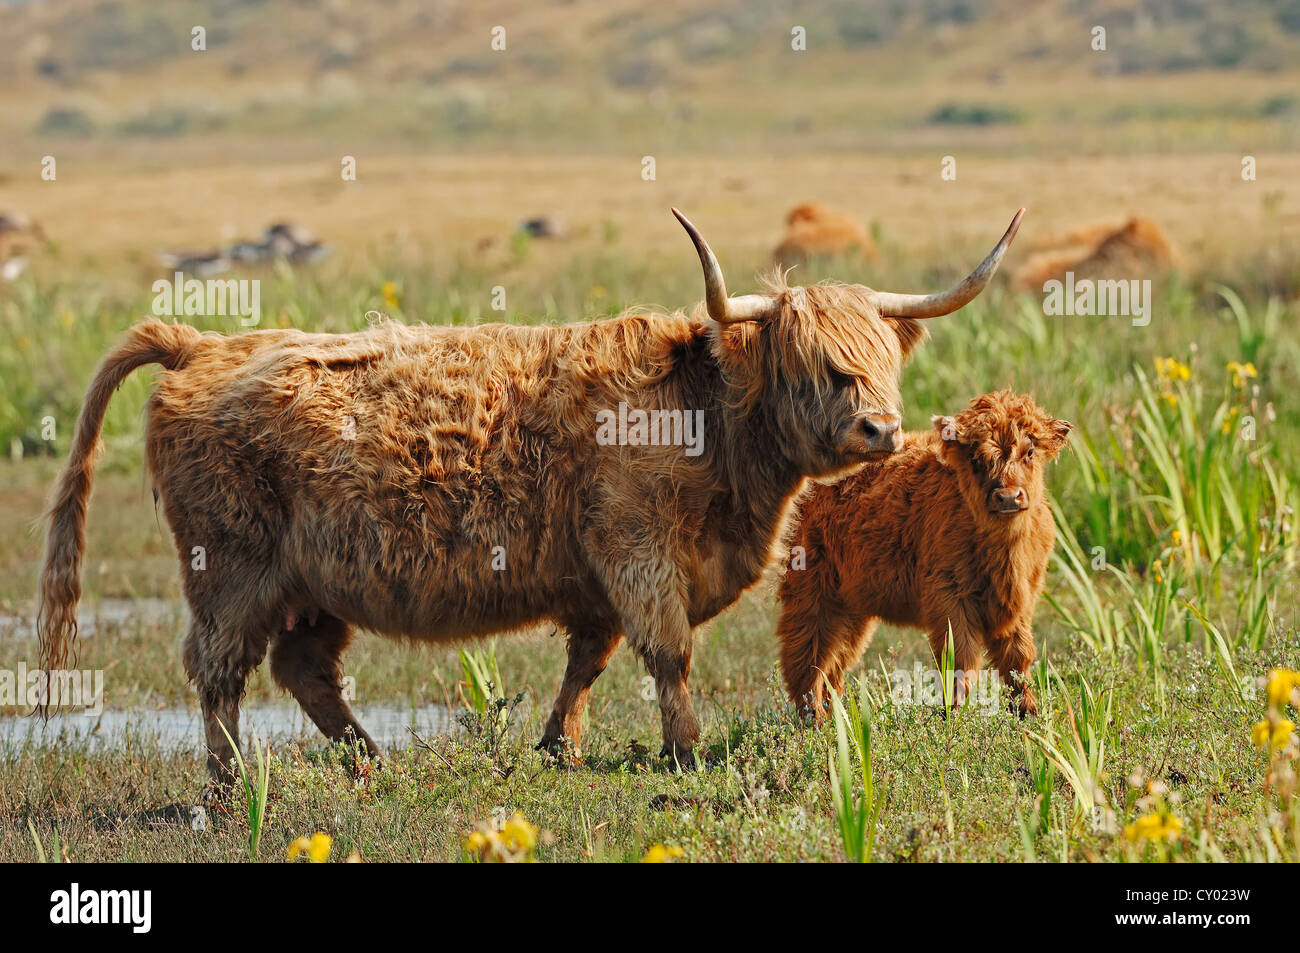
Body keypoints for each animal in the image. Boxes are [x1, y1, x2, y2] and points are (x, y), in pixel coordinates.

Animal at [37, 207, 1023, 780]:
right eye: (824, 366)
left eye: (887, 360)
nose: (882, 431)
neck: (707, 420)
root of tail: (199, 343)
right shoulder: (638, 548)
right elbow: (667, 652)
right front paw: (686, 750)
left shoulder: (602, 574)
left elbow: (588, 659)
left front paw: (560, 745)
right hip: (230, 565)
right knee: (217, 667)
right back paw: (231, 780)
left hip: (314, 580)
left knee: (303, 667)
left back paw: (370, 761)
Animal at [776, 390, 1070, 720]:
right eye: (974, 457)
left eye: (1029, 451)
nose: (1007, 497)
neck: (1003, 551)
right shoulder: (950, 598)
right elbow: (960, 660)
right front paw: (954, 717)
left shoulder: (1022, 602)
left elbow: (1018, 658)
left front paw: (1028, 713)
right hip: (811, 592)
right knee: (806, 657)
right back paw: (815, 723)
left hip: (851, 606)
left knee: (835, 662)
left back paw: (837, 720)